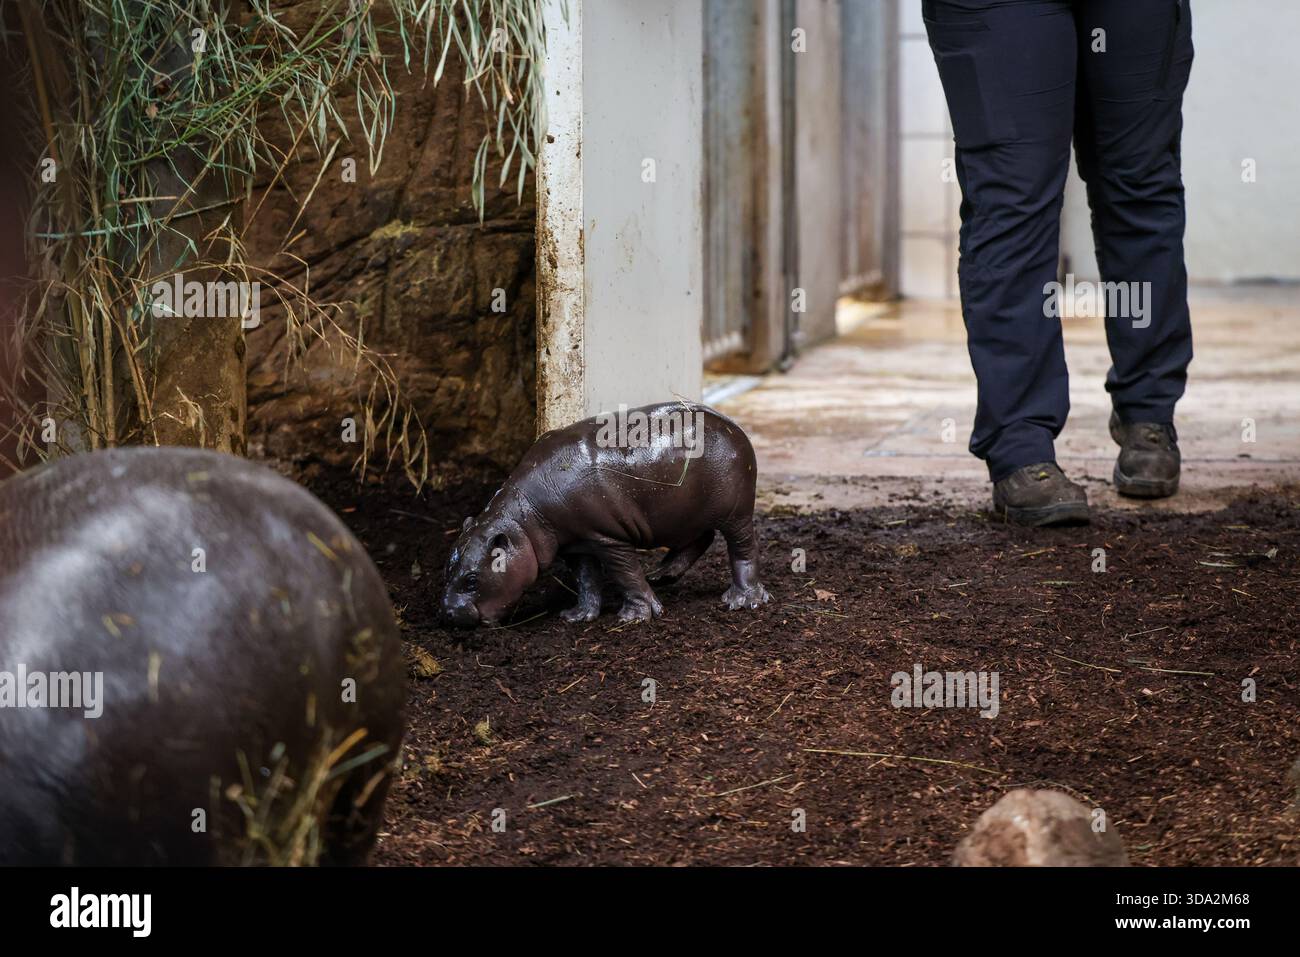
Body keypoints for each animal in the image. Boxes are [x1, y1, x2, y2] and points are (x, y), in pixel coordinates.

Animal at [441, 401, 771, 626]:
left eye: (471, 580)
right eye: (447, 568)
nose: (447, 612)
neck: (523, 519)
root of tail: (733, 425)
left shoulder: (608, 538)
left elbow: (626, 574)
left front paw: (634, 617)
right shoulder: (576, 544)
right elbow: (587, 580)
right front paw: (576, 616)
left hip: (736, 512)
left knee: (743, 547)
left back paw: (742, 600)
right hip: (683, 515)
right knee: (700, 539)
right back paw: (661, 575)